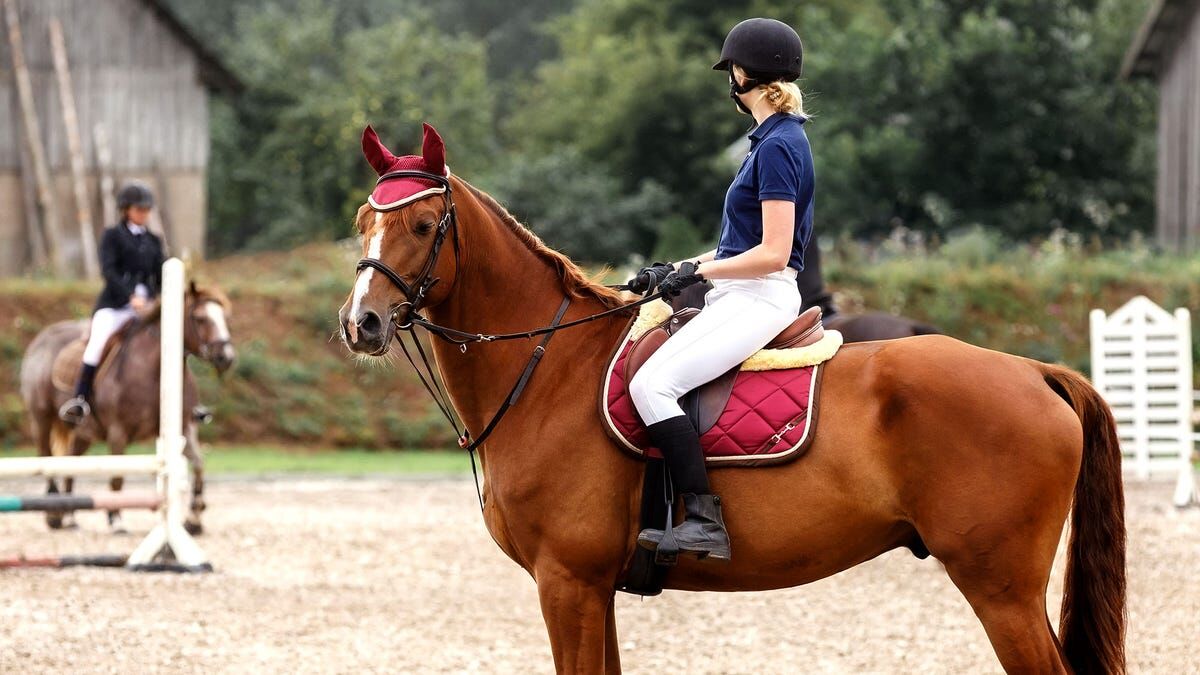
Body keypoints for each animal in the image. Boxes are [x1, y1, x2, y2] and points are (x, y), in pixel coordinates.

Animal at [19, 281, 236, 534]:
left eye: (225, 318)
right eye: (200, 318)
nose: (226, 358)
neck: (154, 369)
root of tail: (42, 338)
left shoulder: (183, 429)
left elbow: (199, 465)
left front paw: (194, 520)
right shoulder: (118, 431)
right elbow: (117, 476)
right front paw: (115, 519)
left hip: (84, 432)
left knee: (71, 462)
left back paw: (70, 516)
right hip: (41, 418)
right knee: (45, 456)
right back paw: (54, 514)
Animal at [338, 129, 1124, 674]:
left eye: (422, 225)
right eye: (361, 223)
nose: (361, 323)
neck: (550, 370)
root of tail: (1034, 371)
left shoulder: (567, 581)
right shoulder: (594, 589)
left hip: (1001, 589)